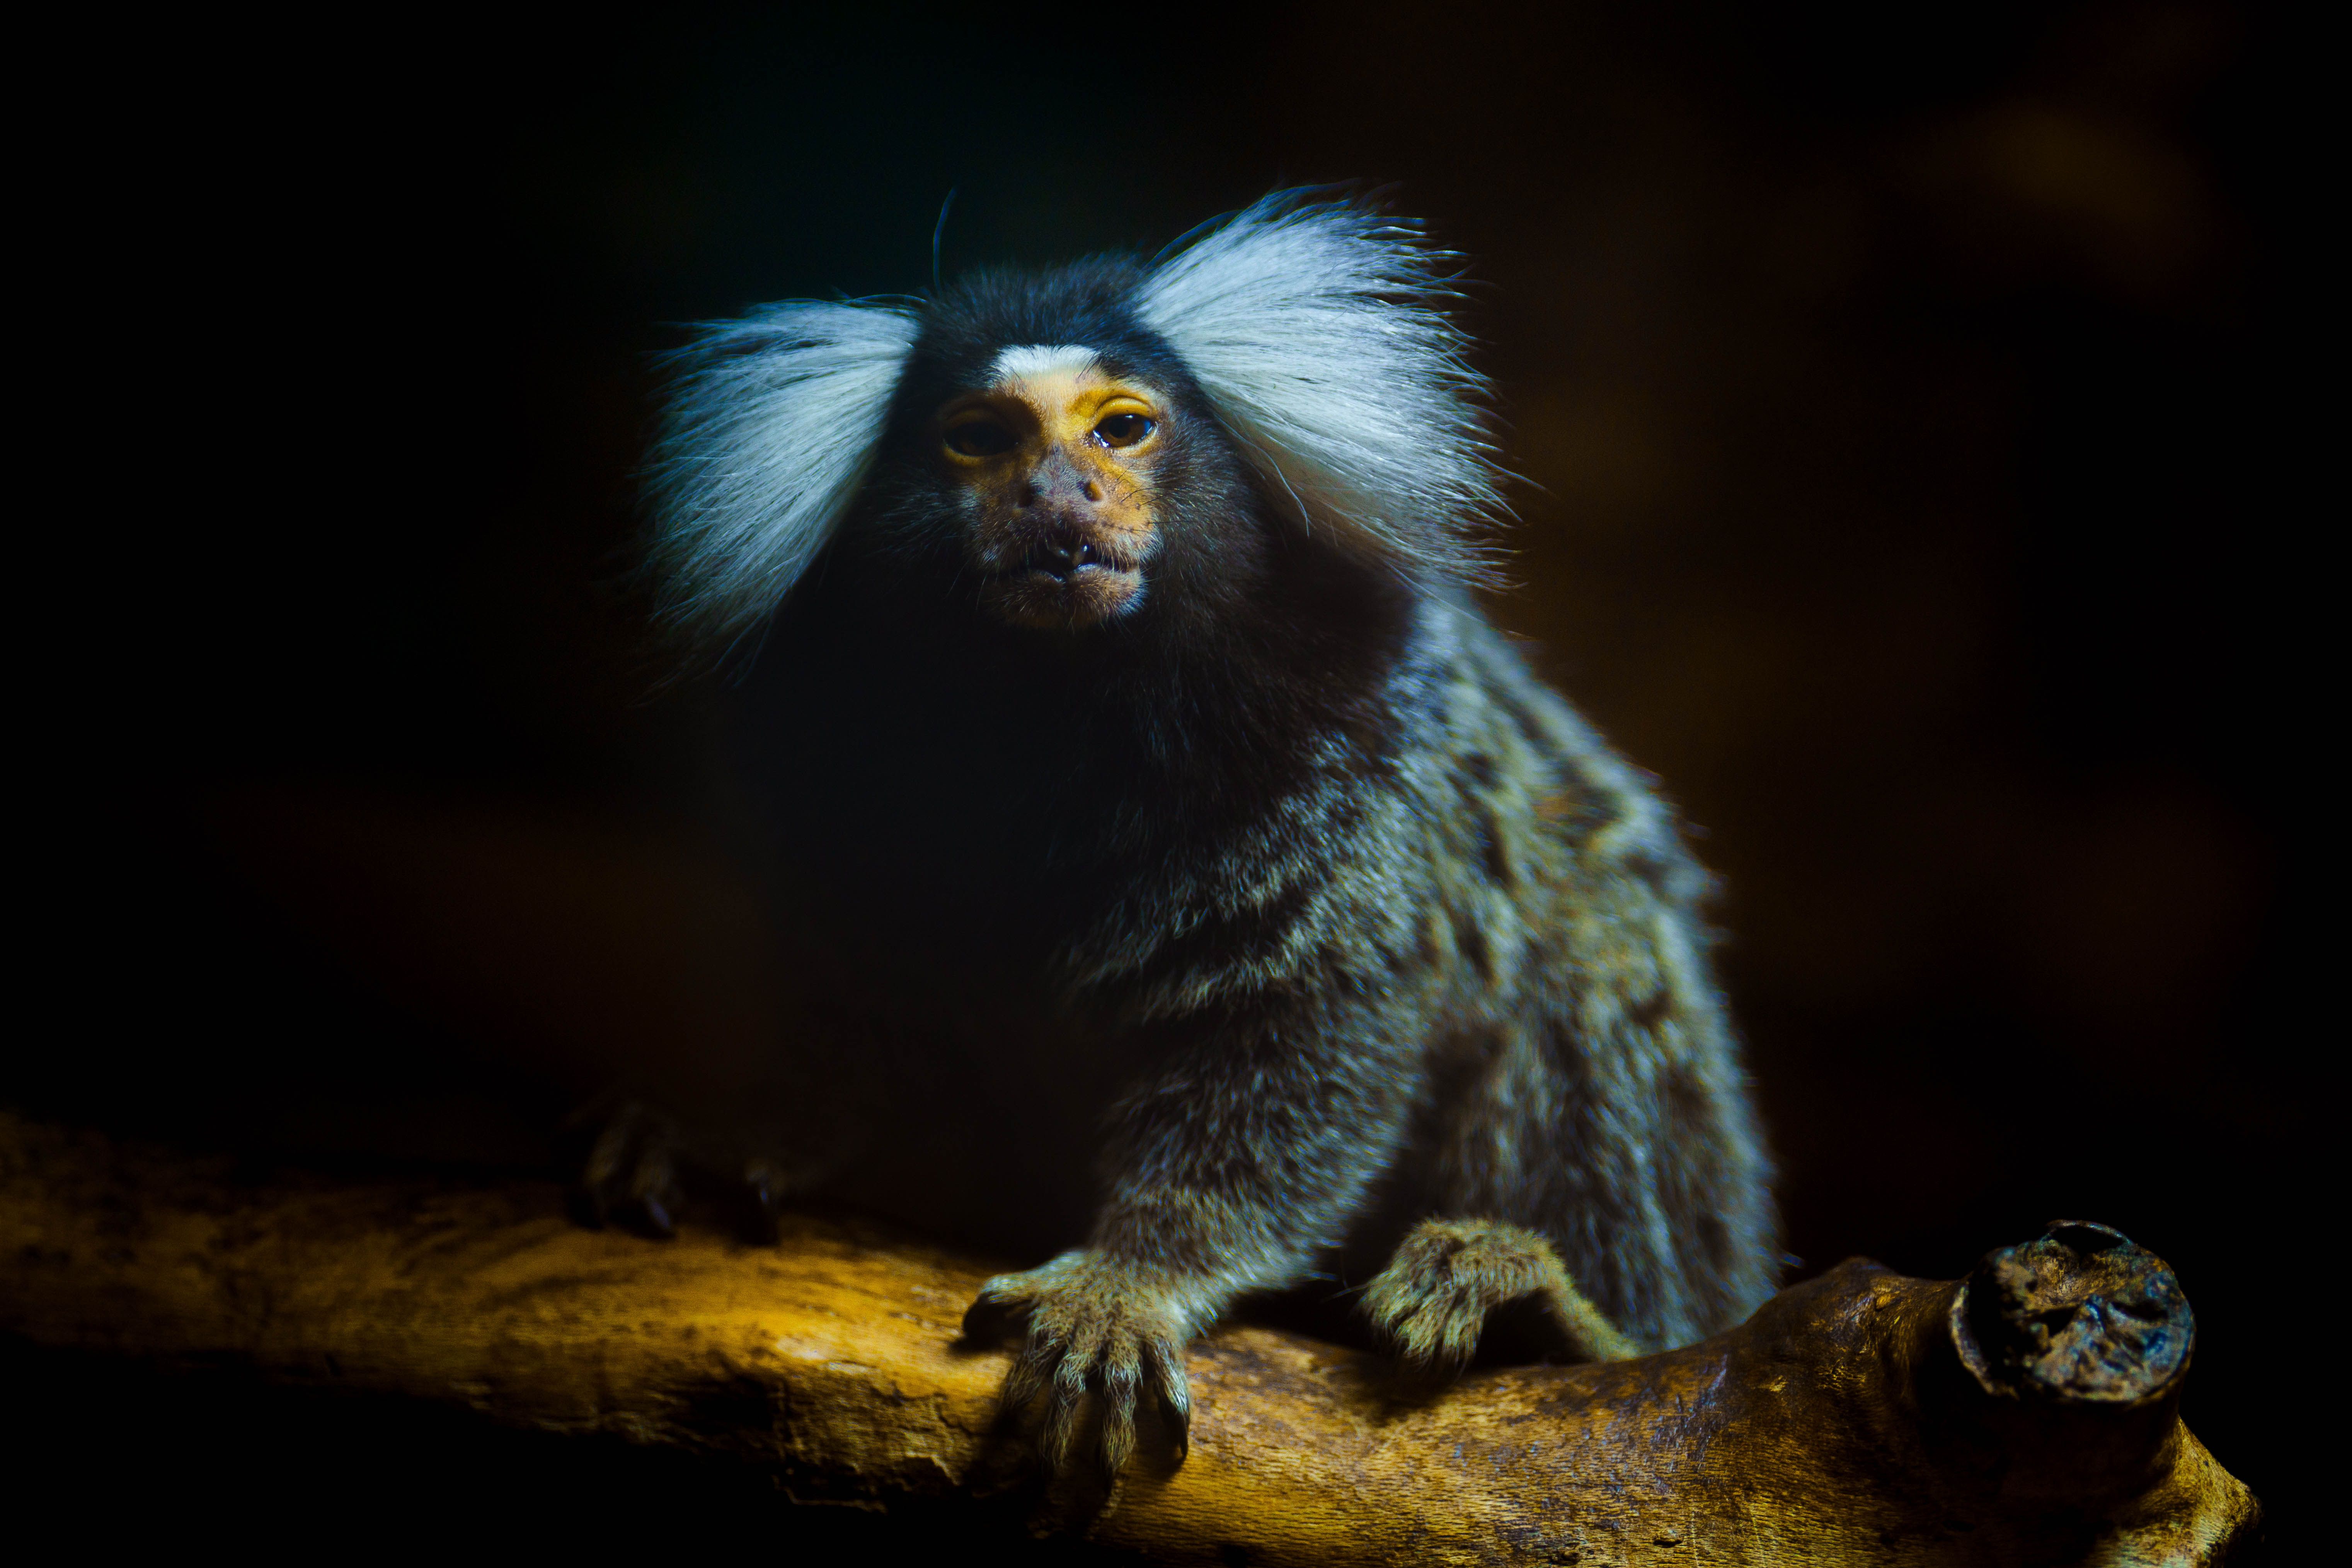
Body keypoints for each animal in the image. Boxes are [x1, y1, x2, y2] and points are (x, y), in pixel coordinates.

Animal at [585, 194, 1779, 1478]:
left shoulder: (1350, 747)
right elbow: (872, 1016)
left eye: (1120, 429)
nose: (1059, 496)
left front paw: (1132, 1278)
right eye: (978, 438)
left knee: (1584, 964)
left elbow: (1306, 1037)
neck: (1067, 722)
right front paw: (758, 1131)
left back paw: (1551, 1313)